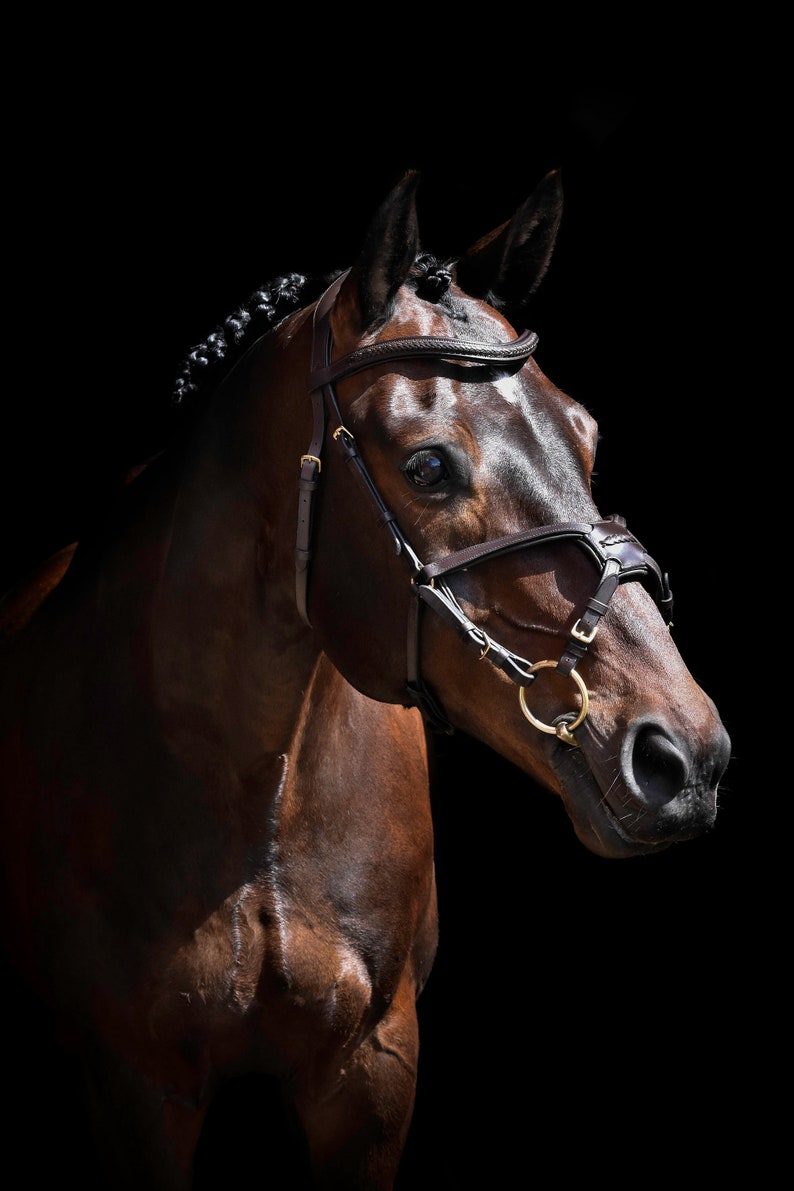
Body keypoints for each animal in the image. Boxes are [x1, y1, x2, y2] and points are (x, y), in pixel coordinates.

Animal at [0, 168, 731, 1189]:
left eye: (586, 434)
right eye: (427, 463)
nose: (684, 755)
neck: (256, 796)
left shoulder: (372, 1067)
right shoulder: (134, 1087)